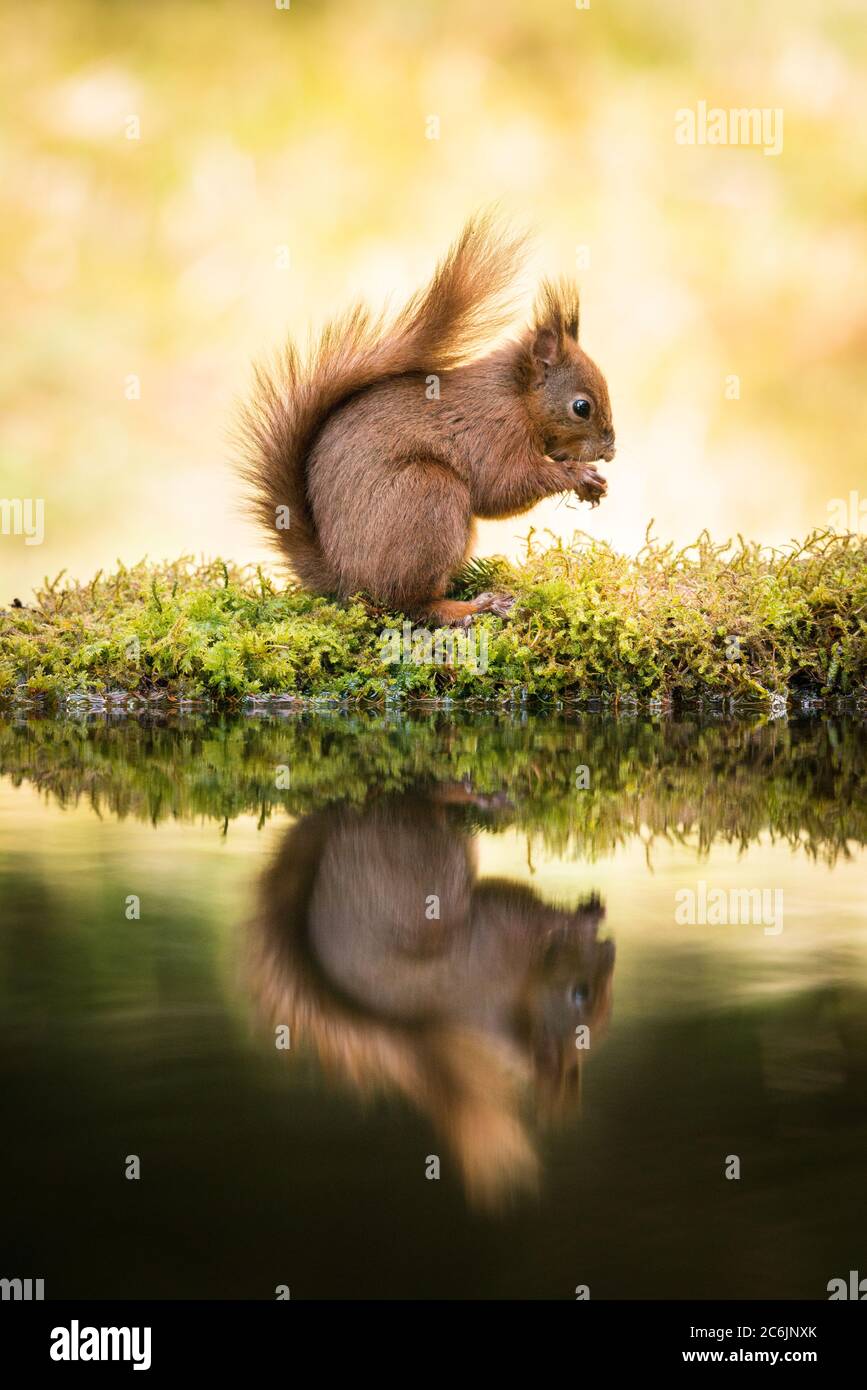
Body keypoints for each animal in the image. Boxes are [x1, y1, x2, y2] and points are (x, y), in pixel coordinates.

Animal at [240, 213, 615, 627]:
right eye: (581, 407)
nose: (610, 448)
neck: (517, 396)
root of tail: (342, 577)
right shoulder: (495, 432)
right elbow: (502, 488)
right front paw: (577, 476)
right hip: (429, 496)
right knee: (407, 602)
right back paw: (474, 607)